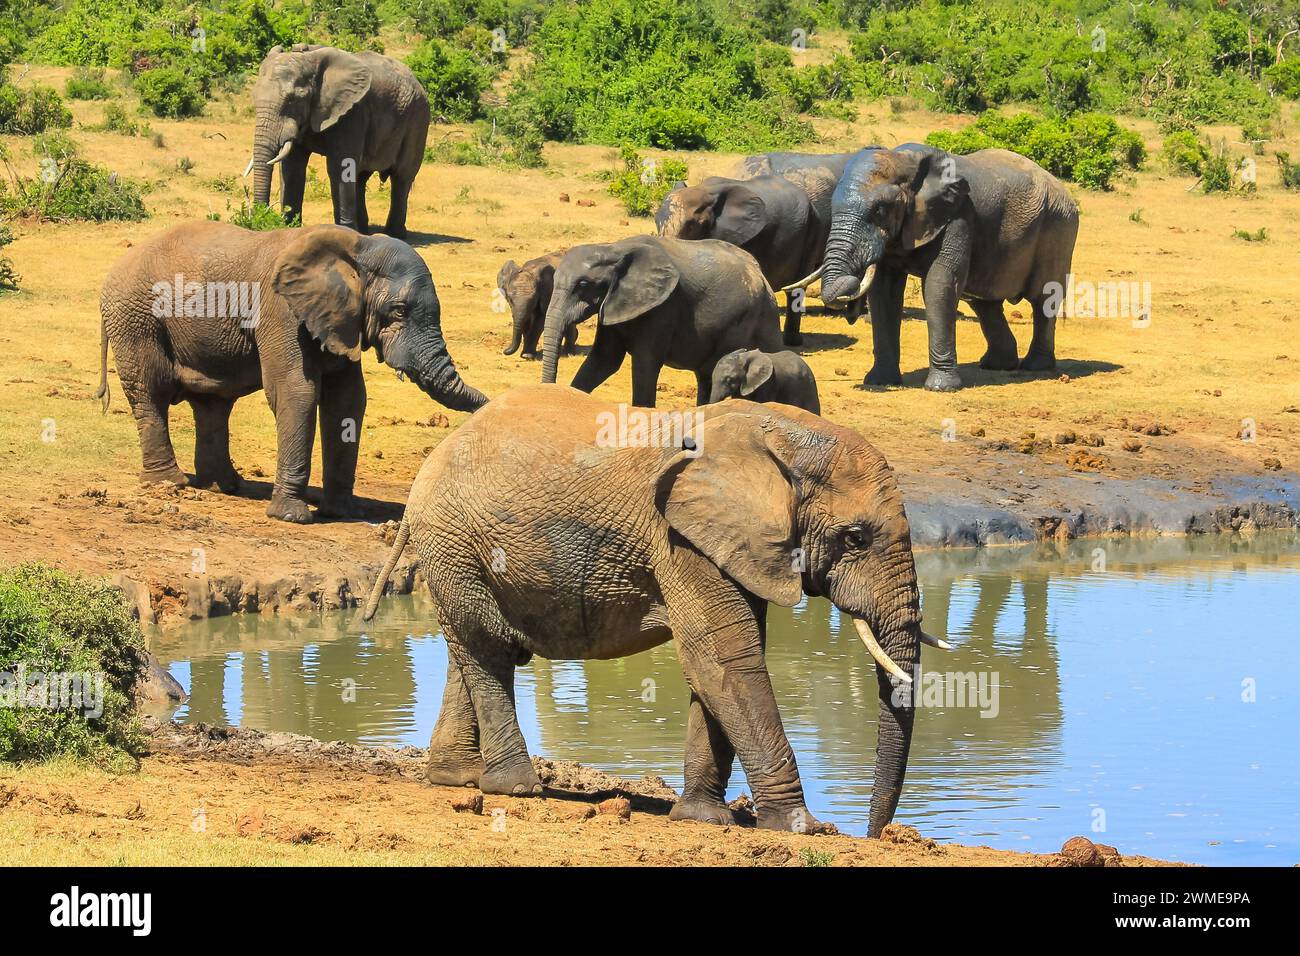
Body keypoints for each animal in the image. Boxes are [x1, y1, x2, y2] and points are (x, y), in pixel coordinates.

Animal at [95, 221, 486, 523]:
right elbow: (297, 391)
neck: (358, 246)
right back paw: (169, 484)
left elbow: (347, 402)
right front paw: (291, 517)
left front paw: (342, 512)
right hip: (135, 317)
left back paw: (225, 486)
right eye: (400, 310)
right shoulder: (281, 312)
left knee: (213, 404)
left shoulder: (340, 321)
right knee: (152, 392)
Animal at [250, 44, 430, 238]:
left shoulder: (352, 112)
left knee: (402, 177)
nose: (260, 219)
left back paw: (394, 234)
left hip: (418, 118)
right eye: (254, 96)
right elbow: (292, 168)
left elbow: (339, 167)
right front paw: (289, 228)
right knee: (360, 176)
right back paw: (363, 231)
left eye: (292, 100)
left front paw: (344, 232)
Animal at [364, 384, 948, 835]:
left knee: (474, 650)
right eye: (855, 538)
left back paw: (458, 779)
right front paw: (803, 828)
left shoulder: (730, 544)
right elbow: (725, 661)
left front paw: (703, 819)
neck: (775, 433)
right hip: (454, 540)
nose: (876, 833)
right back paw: (519, 788)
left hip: (456, 550)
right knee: (487, 650)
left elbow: (719, 667)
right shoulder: (681, 541)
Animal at [539, 236, 784, 407]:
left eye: (582, 285)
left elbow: (645, 362)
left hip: (757, 318)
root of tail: (762, 276)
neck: (615, 248)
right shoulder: (613, 303)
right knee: (706, 375)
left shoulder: (664, 307)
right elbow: (604, 359)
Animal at [818, 144, 1079, 391]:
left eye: (880, 210)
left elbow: (939, 285)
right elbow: (883, 293)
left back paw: (1036, 366)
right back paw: (996, 364)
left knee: (1043, 298)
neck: (905, 161)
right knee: (984, 303)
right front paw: (879, 382)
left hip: (1058, 228)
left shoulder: (958, 216)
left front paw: (941, 388)